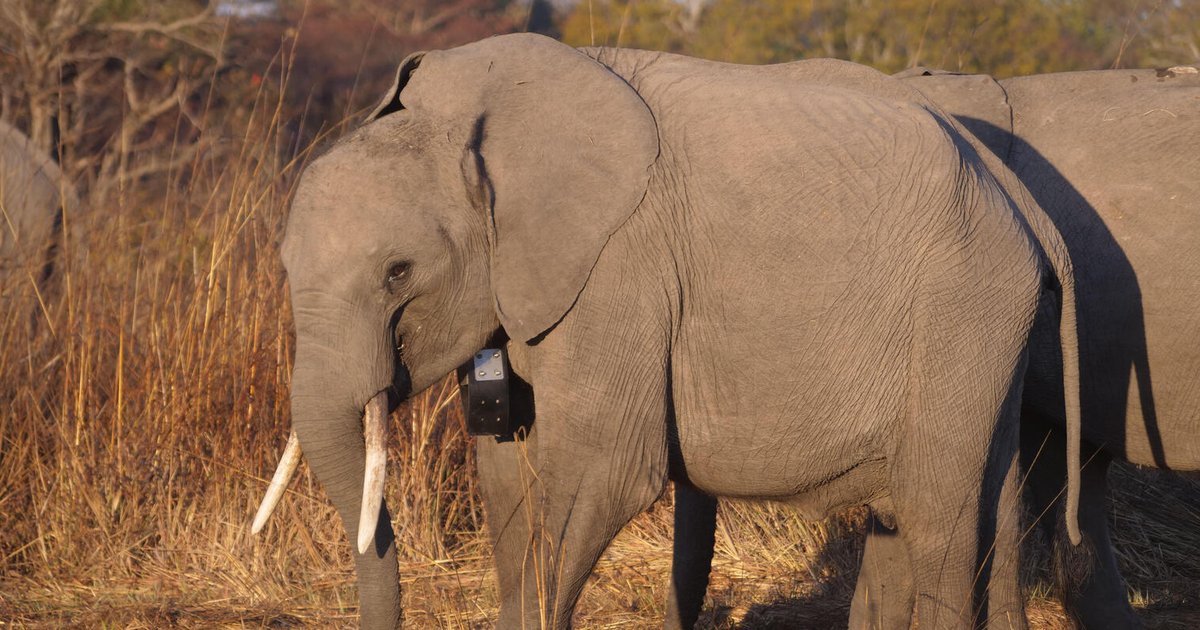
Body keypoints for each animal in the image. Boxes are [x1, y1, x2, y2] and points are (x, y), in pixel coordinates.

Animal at [250, 33, 1085, 629]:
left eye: (397, 273)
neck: (472, 126)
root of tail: (1022, 198)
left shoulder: (623, 269)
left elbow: (602, 468)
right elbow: (507, 470)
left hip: (962, 309)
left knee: (939, 517)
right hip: (985, 327)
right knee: (979, 509)